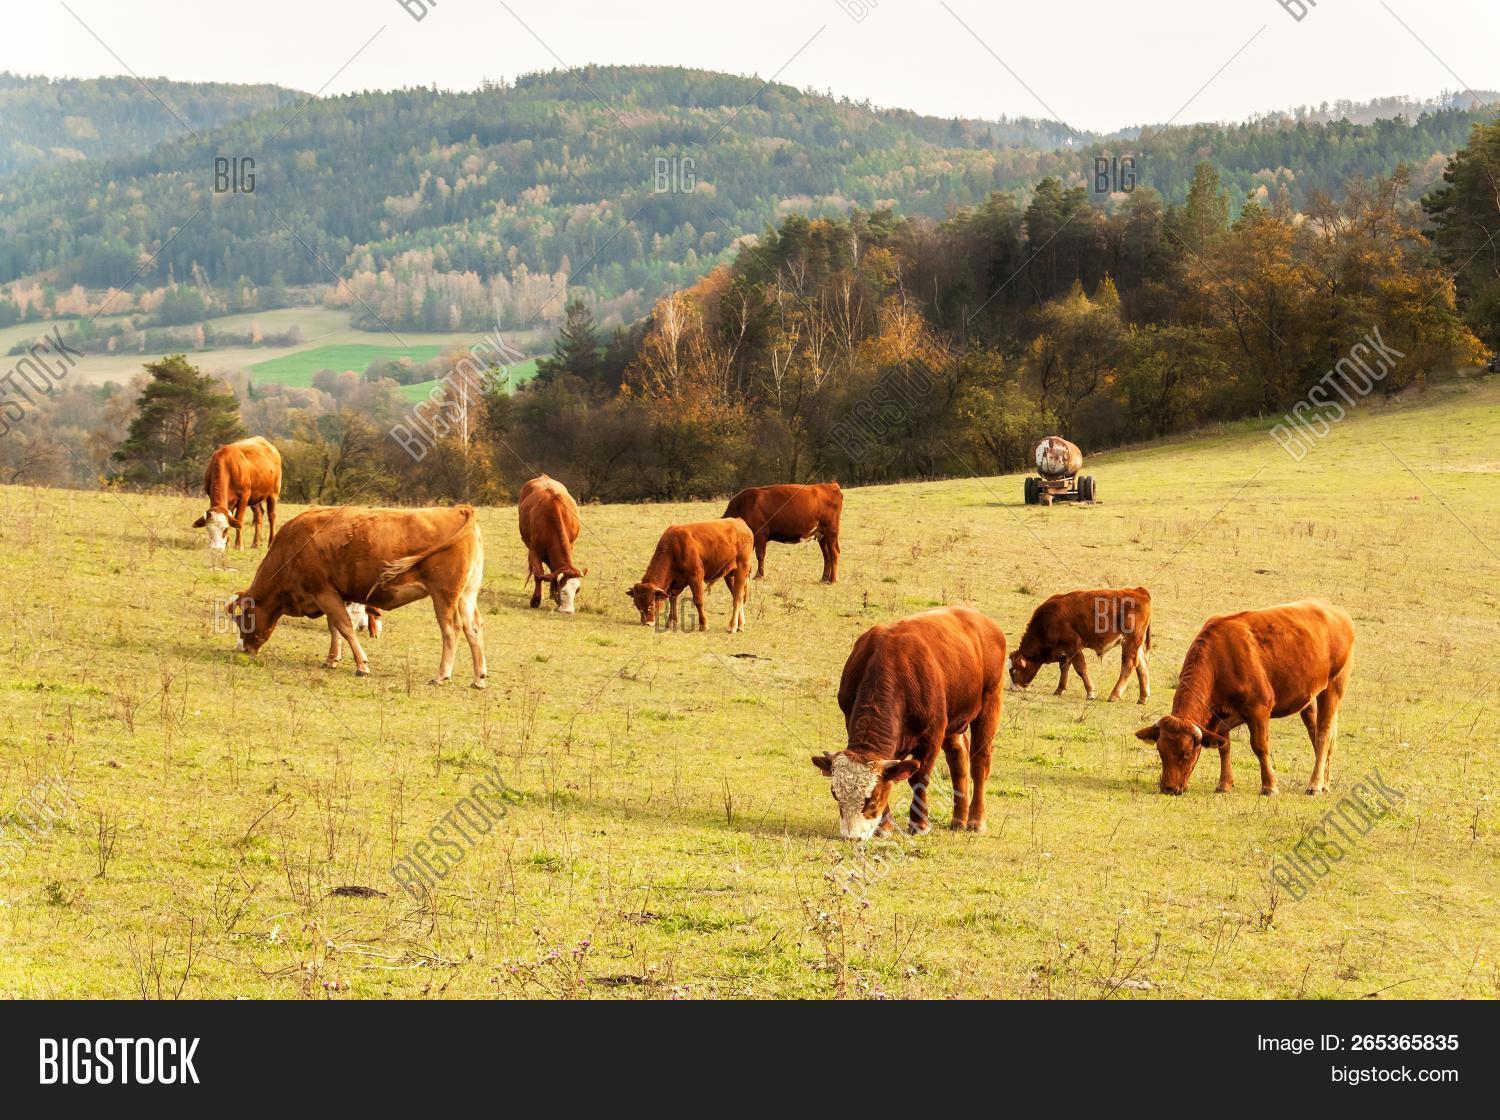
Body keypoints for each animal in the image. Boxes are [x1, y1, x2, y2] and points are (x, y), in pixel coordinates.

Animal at [225, 505, 486, 686]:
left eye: (243, 619)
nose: (244, 648)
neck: (291, 549)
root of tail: (459, 509)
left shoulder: (324, 592)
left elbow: (344, 626)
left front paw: (361, 664)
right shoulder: (333, 594)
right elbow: (334, 627)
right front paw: (332, 659)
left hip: (444, 596)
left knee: (451, 630)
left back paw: (442, 675)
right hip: (467, 596)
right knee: (473, 629)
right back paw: (478, 679)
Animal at [517, 475, 585, 613]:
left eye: (577, 590)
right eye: (562, 590)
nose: (568, 611)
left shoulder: (571, 545)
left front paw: (552, 593)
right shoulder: (534, 551)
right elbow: (539, 574)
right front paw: (536, 600)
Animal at [811, 605, 1006, 839]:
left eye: (871, 798)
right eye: (835, 794)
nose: (851, 836)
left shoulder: (932, 735)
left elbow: (919, 778)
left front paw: (919, 824)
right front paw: (884, 827)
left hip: (990, 701)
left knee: (979, 762)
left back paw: (976, 820)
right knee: (958, 758)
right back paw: (959, 819)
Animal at [1009, 587, 1152, 703]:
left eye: (1013, 672)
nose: (1012, 688)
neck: (1046, 623)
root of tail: (1138, 591)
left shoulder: (1073, 644)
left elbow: (1080, 668)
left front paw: (1090, 692)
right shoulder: (1064, 651)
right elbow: (1064, 667)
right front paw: (1059, 689)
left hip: (1130, 641)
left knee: (1129, 665)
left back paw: (1114, 695)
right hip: (1137, 645)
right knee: (1142, 667)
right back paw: (1143, 697)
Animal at [1135, 599, 1354, 796]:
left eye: (1187, 753)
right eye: (1161, 750)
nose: (1169, 788)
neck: (1220, 659)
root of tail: (1337, 611)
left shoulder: (1259, 708)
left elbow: (1260, 745)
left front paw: (1269, 786)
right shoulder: (1221, 713)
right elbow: (1224, 745)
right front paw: (1224, 784)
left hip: (1334, 687)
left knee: (1323, 734)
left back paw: (1315, 785)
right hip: (1308, 698)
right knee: (1315, 733)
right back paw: (1325, 782)